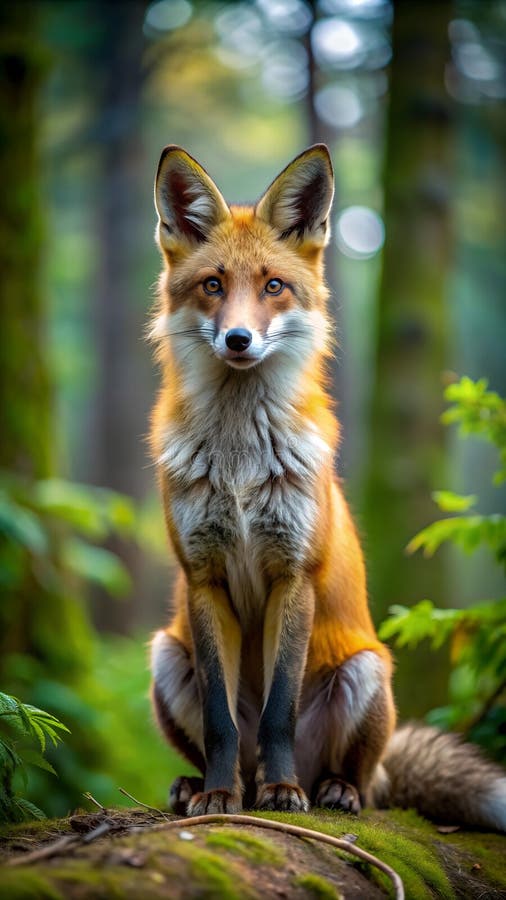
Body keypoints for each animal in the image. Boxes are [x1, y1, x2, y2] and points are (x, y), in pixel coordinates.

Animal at [149, 144, 506, 830]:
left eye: (273, 286)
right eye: (213, 286)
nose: (239, 339)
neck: (239, 464)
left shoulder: (295, 572)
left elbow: (278, 711)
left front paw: (283, 793)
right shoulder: (203, 576)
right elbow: (223, 721)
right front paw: (218, 798)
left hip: (366, 671)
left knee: (365, 780)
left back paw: (326, 790)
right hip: (165, 656)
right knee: (230, 742)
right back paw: (205, 785)